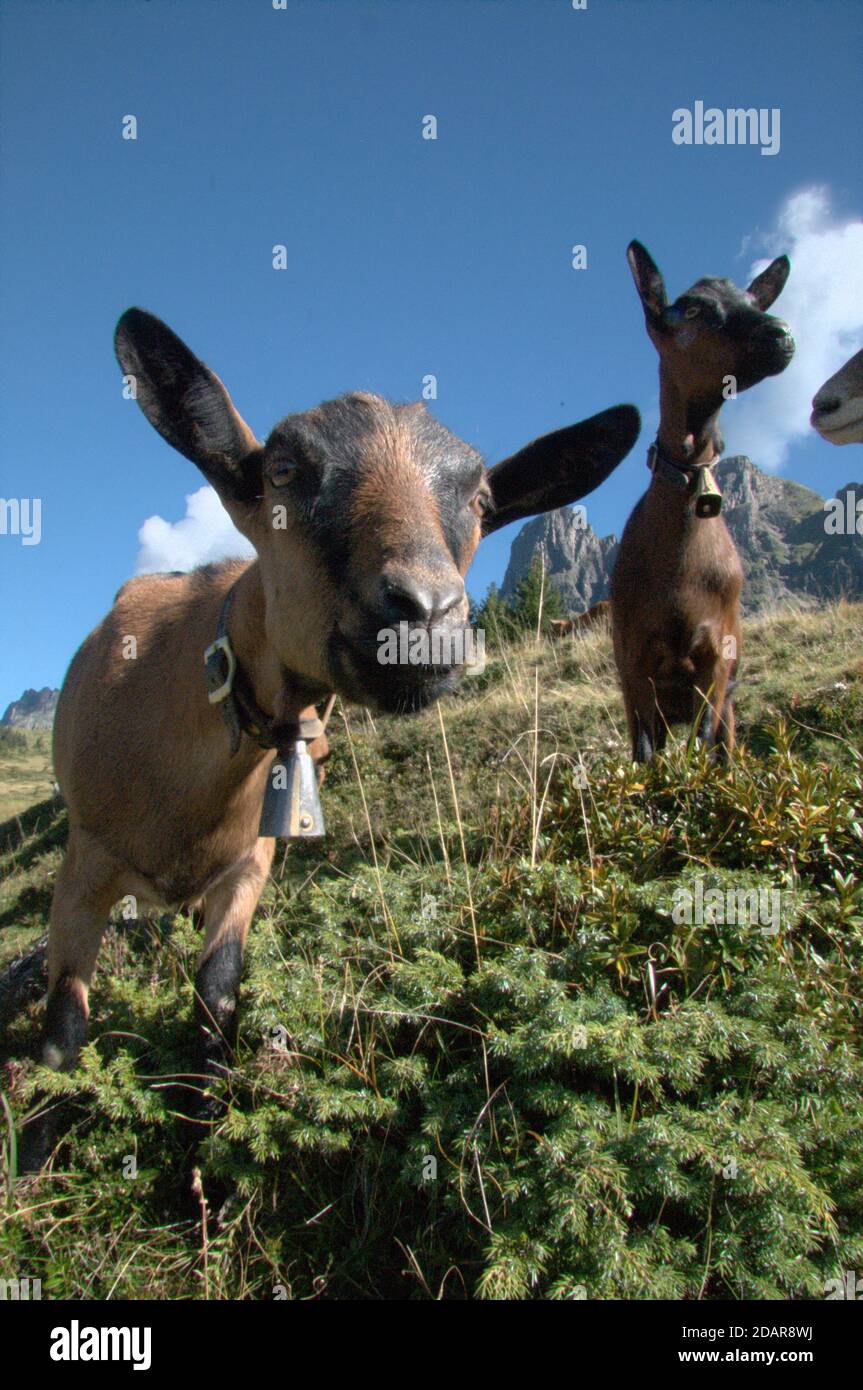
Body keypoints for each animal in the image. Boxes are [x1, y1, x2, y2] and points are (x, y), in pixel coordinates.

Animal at [19, 308, 639, 1166]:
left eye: (481, 499)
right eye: (282, 470)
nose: (426, 615)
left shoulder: (250, 864)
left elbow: (217, 998)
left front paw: (200, 1149)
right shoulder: (82, 866)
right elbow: (62, 1028)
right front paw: (33, 1165)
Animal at [611, 241, 794, 762]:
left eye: (753, 301)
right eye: (692, 309)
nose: (781, 334)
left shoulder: (716, 660)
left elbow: (705, 748)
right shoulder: (635, 663)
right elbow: (644, 757)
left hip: (728, 702)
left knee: (725, 752)